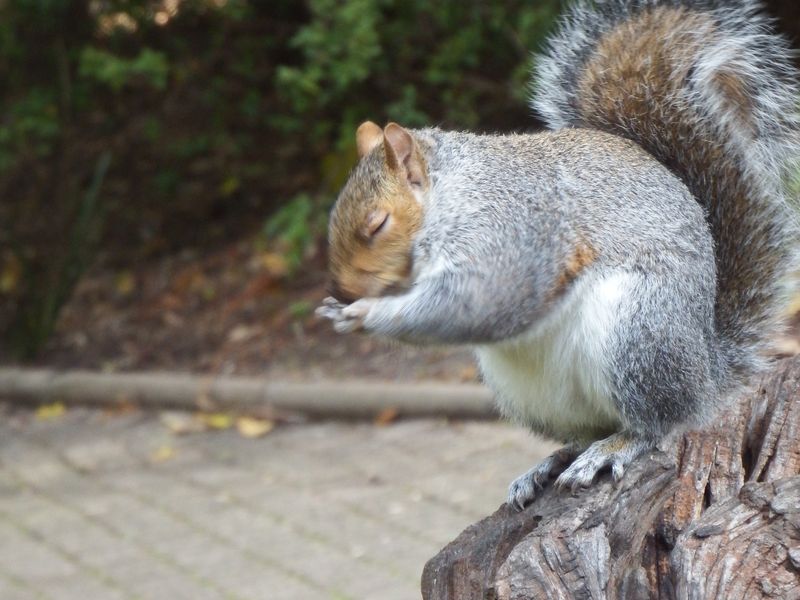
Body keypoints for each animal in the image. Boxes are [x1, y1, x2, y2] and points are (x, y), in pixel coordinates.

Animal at [316, 0, 800, 510]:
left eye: (377, 224)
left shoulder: (514, 235)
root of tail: (706, 374)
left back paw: (614, 448)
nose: (342, 289)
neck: (450, 198)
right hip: (532, 391)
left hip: (639, 335)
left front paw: (366, 314)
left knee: (657, 424)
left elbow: (474, 303)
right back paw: (549, 464)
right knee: (584, 429)